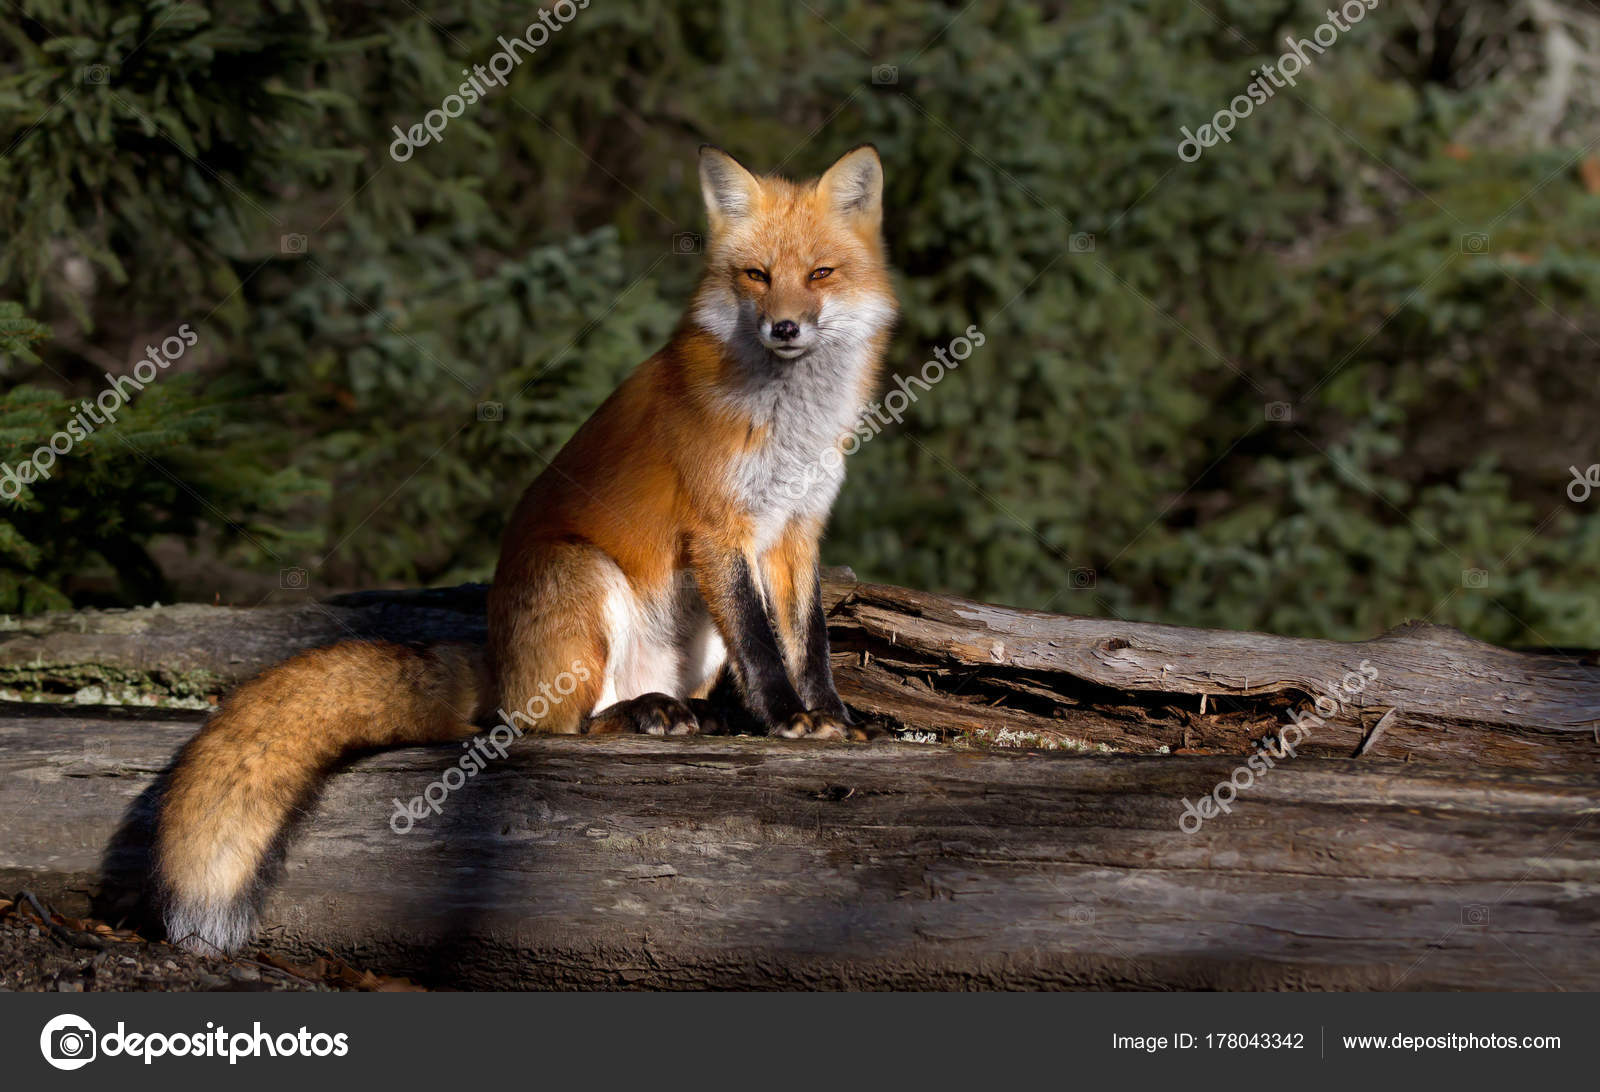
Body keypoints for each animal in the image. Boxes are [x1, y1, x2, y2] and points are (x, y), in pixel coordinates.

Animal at [155, 144, 900, 954]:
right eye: (757, 276)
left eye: (820, 273)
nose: (785, 329)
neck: (788, 422)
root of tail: (497, 659)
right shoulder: (718, 530)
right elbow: (765, 646)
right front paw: (786, 718)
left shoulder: (797, 533)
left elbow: (808, 641)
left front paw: (830, 717)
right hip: (583, 575)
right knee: (548, 728)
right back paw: (640, 716)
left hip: (695, 637)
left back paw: (692, 714)